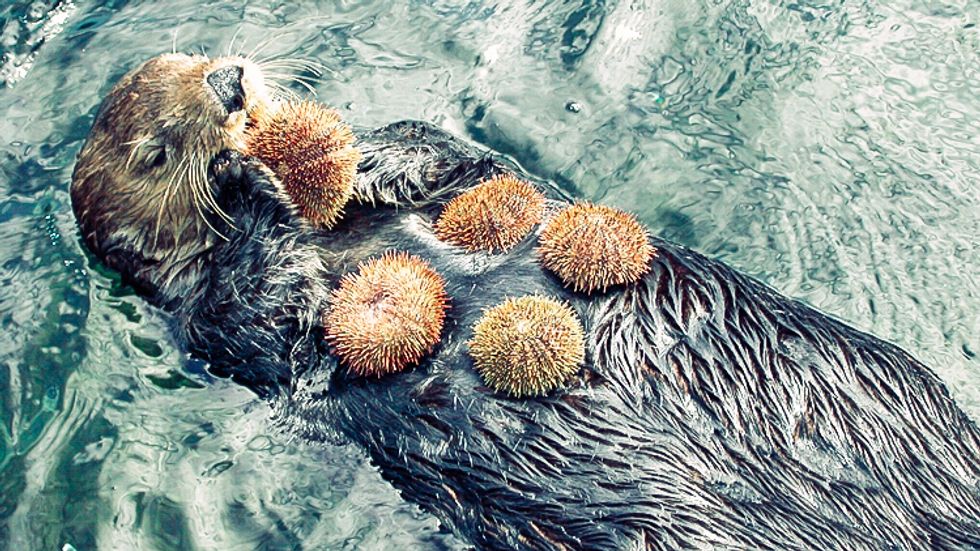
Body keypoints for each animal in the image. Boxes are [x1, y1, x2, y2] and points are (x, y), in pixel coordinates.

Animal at [71, 54, 980, 549]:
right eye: (155, 151)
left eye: (199, 55)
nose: (229, 81)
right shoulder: (217, 327)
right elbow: (267, 303)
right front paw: (247, 180)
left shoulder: (454, 168)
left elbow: (445, 153)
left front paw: (356, 159)